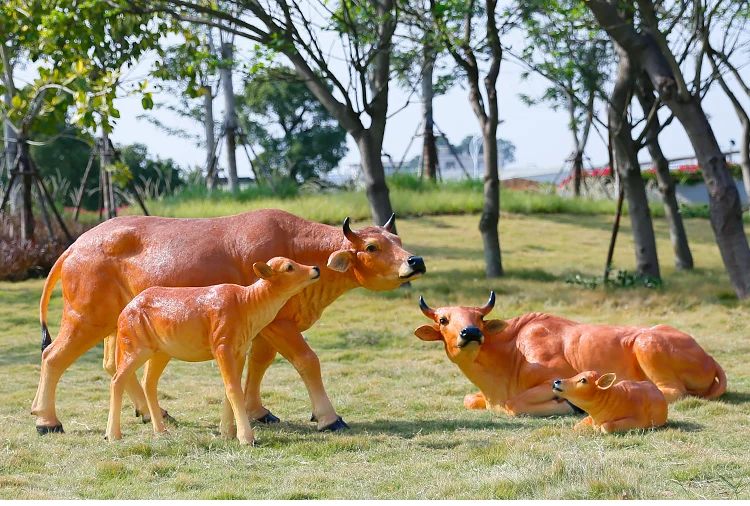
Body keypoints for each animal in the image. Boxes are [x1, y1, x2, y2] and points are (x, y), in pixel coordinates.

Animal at [106, 257, 321, 445]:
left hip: (160, 352)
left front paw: (228, 433)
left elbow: (231, 387)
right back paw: (112, 435)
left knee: (148, 382)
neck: (246, 304)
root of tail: (124, 311)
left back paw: (161, 431)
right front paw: (247, 438)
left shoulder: (239, 351)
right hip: (134, 347)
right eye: (289, 267)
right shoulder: (221, 346)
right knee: (117, 379)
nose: (316, 268)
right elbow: (233, 387)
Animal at [414, 292, 726, 416]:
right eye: (443, 319)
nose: (471, 332)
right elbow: (469, 399)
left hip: (647, 343)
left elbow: (514, 405)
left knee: (672, 391)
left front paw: (569, 405)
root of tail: (709, 358)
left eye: (479, 317)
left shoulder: (554, 378)